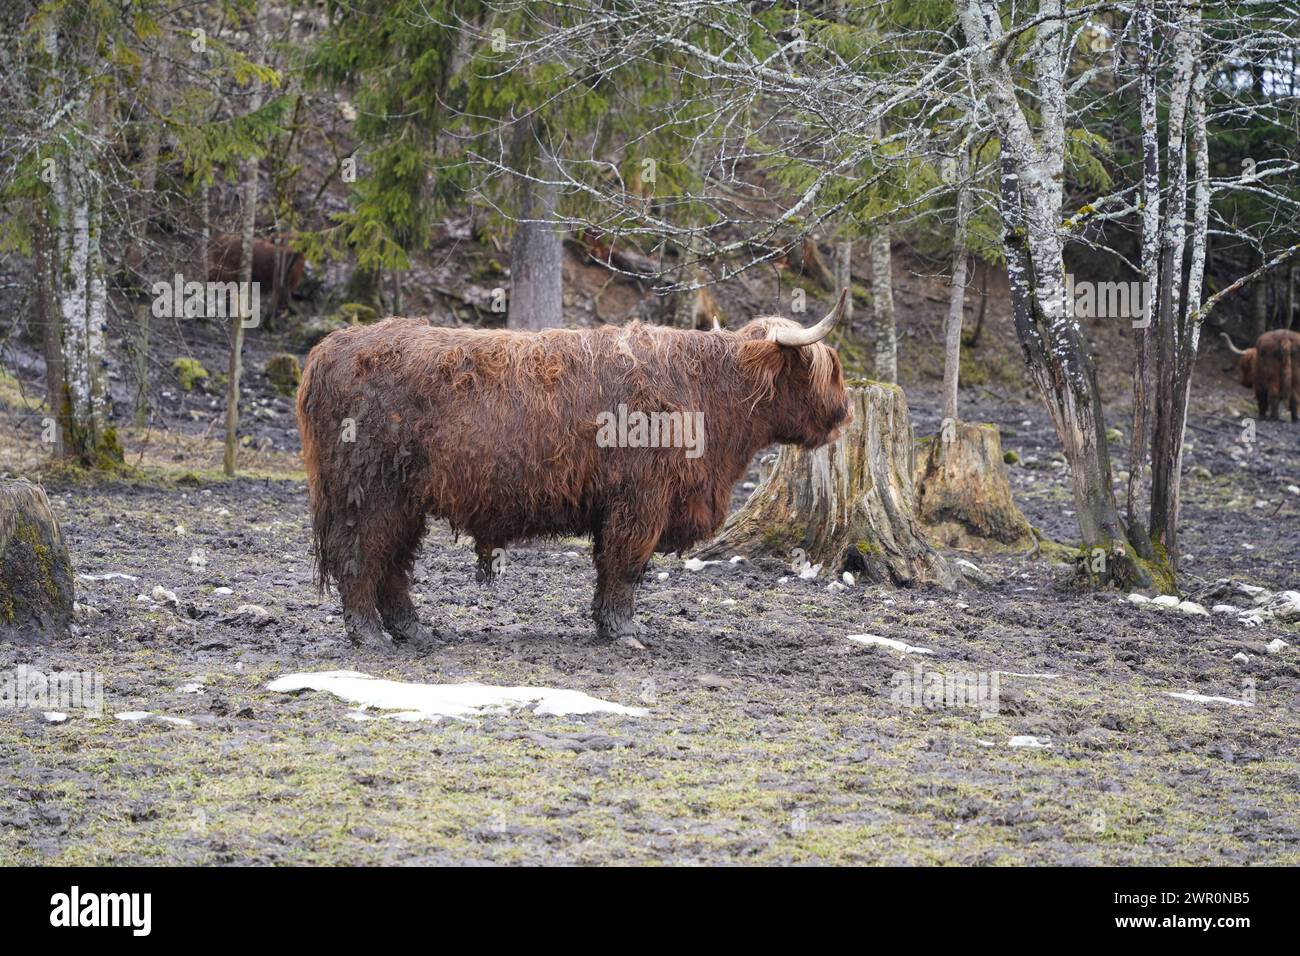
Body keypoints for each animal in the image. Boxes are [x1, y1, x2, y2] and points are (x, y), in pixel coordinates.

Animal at [296, 292, 851, 646]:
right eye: (821, 368)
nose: (844, 412)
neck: (712, 393)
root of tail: (330, 347)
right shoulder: (642, 500)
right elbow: (627, 566)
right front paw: (625, 632)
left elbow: (610, 566)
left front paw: (607, 626)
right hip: (368, 493)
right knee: (359, 557)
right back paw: (369, 635)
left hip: (404, 501)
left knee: (393, 564)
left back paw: (414, 630)